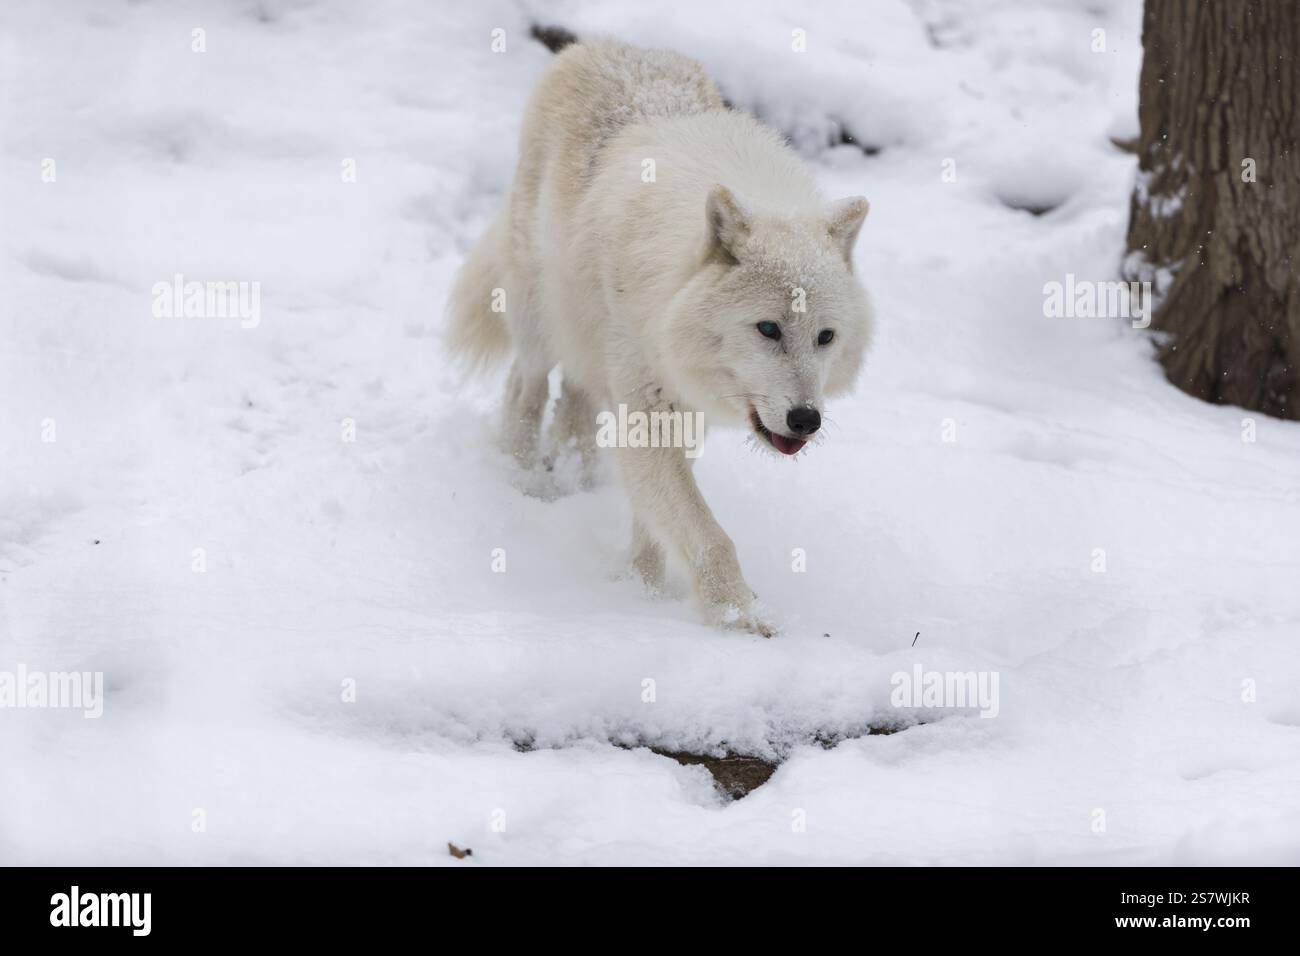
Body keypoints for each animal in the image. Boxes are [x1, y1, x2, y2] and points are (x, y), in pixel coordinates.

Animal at [447, 39, 873, 635]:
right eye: (768, 328)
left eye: (826, 337)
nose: (805, 420)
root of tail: (599, 45)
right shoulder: (650, 410)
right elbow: (706, 532)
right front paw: (740, 618)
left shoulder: (680, 413)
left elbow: (656, 519)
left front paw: (643, 593)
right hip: (539, 321)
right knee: (523, 390)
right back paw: (525, 478)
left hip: (590, 353)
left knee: (574, 407)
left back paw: (576, 479)